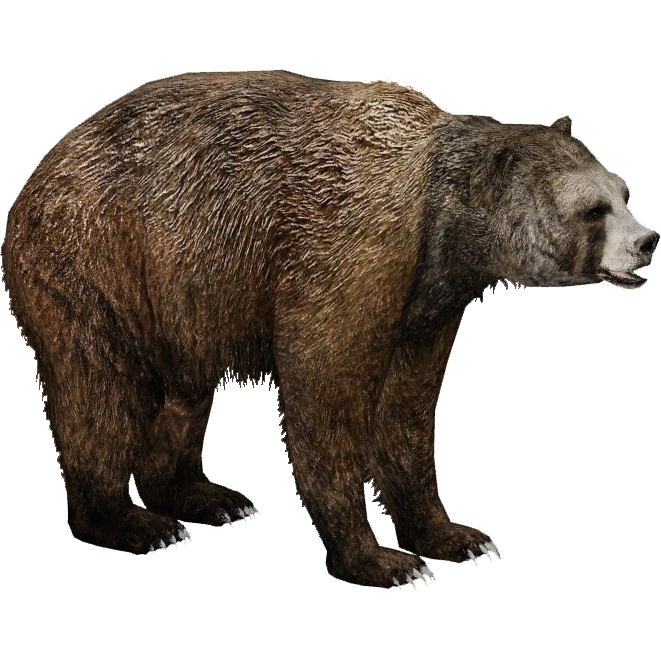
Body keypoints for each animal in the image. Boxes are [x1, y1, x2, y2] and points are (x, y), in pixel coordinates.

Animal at [1, 70, 657, 589]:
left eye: (625, 190)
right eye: (593, 208)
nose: (647, 242)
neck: (442, 230)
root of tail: (36, 175)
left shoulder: (428, 304)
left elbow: (407, 410)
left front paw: (453, 533)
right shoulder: (352, 246)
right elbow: (326, 390)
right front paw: (379, 559)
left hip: (182, 301)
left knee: (182, 397)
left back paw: (206, 495)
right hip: (95, 262)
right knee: (99, 393)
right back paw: (131, 520)